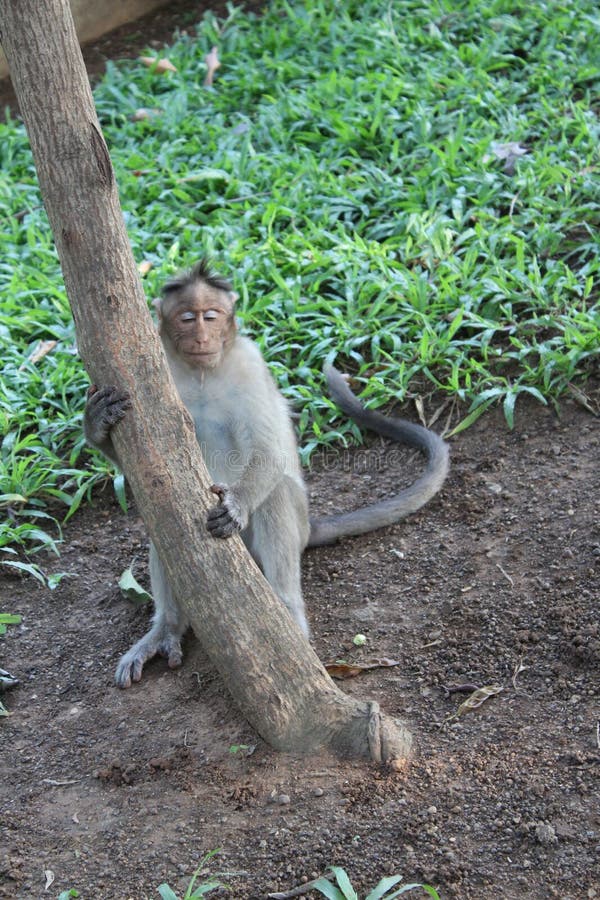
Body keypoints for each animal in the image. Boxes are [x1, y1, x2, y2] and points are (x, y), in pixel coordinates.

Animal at [84, 260, 449, 688]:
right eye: (187, 318)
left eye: (211, 316)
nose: (202, 337)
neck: (203, 371)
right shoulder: (155, 375)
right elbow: (145, 469)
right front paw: (97, 422)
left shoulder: (250, 364)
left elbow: (269, 451)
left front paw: (237, 505)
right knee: (164, 519)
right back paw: (167, 628)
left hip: (279, 536)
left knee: (276, 495)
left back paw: (288, 611)